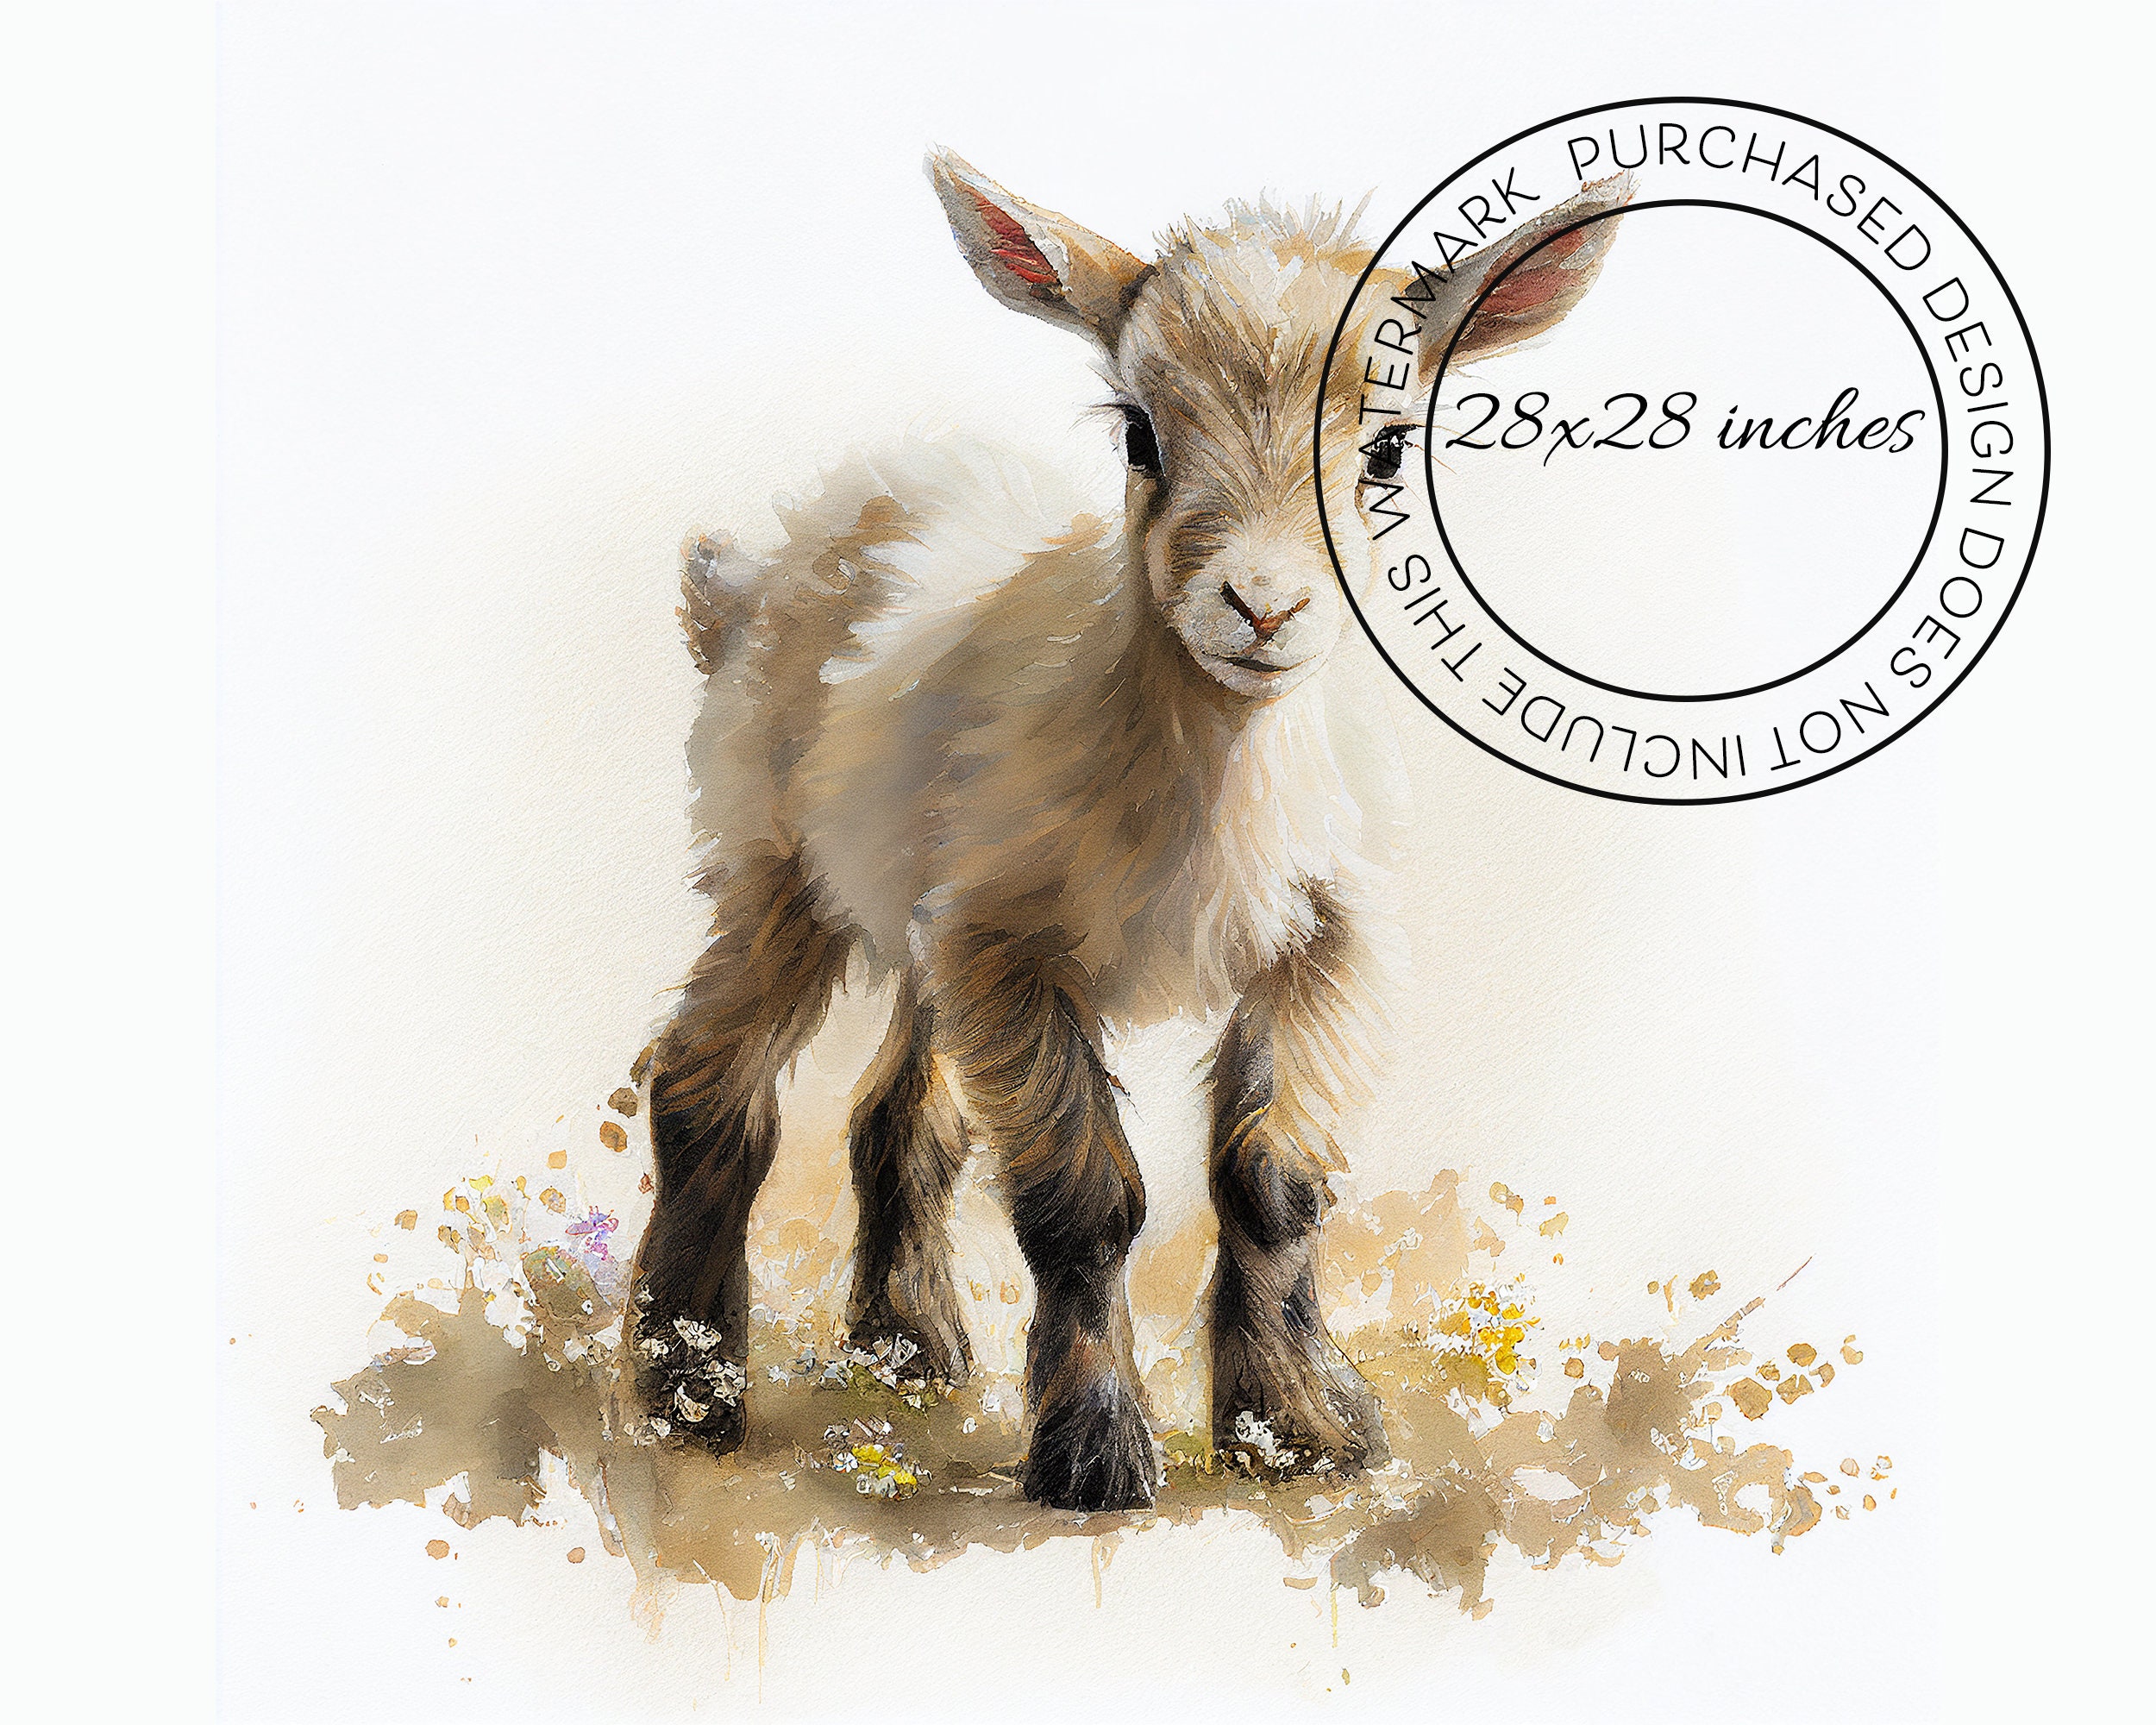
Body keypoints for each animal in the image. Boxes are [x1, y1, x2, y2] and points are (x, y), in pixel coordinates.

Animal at [630, 151, 1630, 1511]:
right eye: (1139, 432)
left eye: (1385, 451)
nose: (1261, 607)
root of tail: (752, 567)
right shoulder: (1013, 952)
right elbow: (1084, 1204)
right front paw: (1095, 1449)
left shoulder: (1327, 943)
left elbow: (1272, 1185)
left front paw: (1296, 1427)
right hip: (771, 861)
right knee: (708, 1087)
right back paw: (688, 1390)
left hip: (926, 917)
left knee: (899, 1121)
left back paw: (908, 1351)